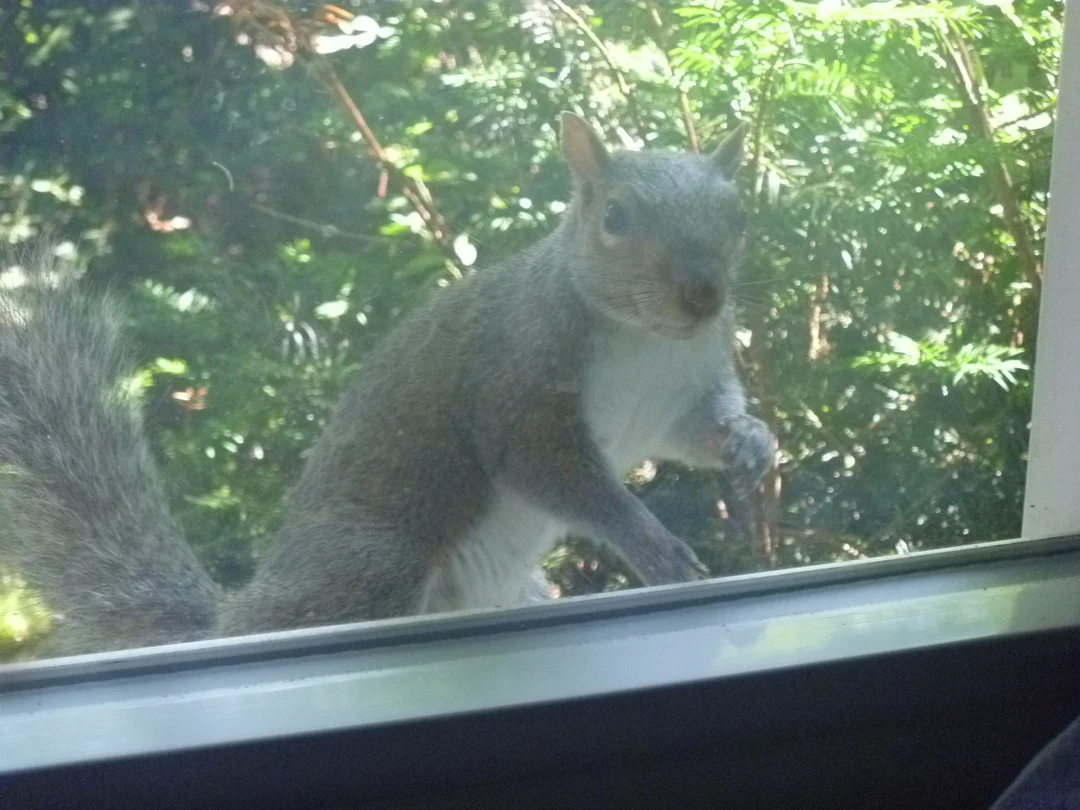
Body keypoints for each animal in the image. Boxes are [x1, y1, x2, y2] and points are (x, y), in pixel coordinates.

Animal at [0, 114, 775, 657]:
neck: (646, 343)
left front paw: (753, 445)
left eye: (739, 216)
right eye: (615, 217)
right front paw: (656, 547)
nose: (702, 296)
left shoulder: (677, 399)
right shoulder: (518, 390)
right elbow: (568, 481)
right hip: (375, 559)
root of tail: (236, 619)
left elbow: (701, 432)